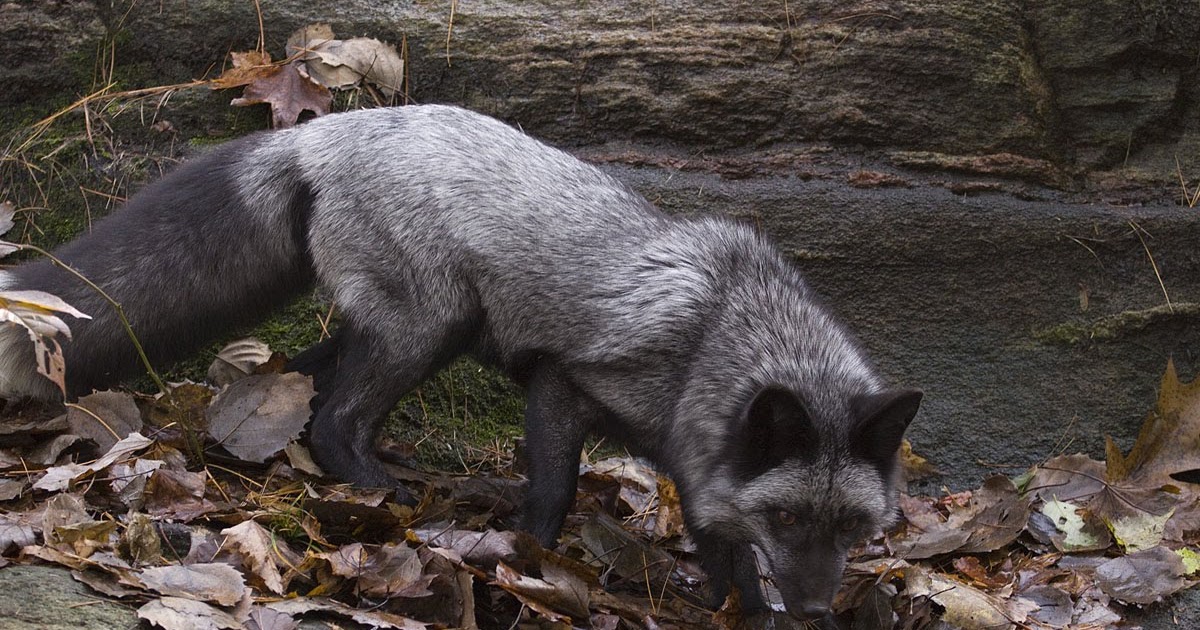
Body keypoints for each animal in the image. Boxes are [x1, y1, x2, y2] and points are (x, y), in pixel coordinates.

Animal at [0, 105, 920, 620]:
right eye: (791, 519)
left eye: (851, 528)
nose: (817, 609)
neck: (718, 332)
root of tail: (321, 133)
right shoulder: (563, 382)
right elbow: (552, 492)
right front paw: (530, 568)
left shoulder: (702, 464)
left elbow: (724, 550)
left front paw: (750, 610)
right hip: (430, 325)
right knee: (336, 415)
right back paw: (377, 489)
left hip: (403, 324)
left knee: (308, 381)